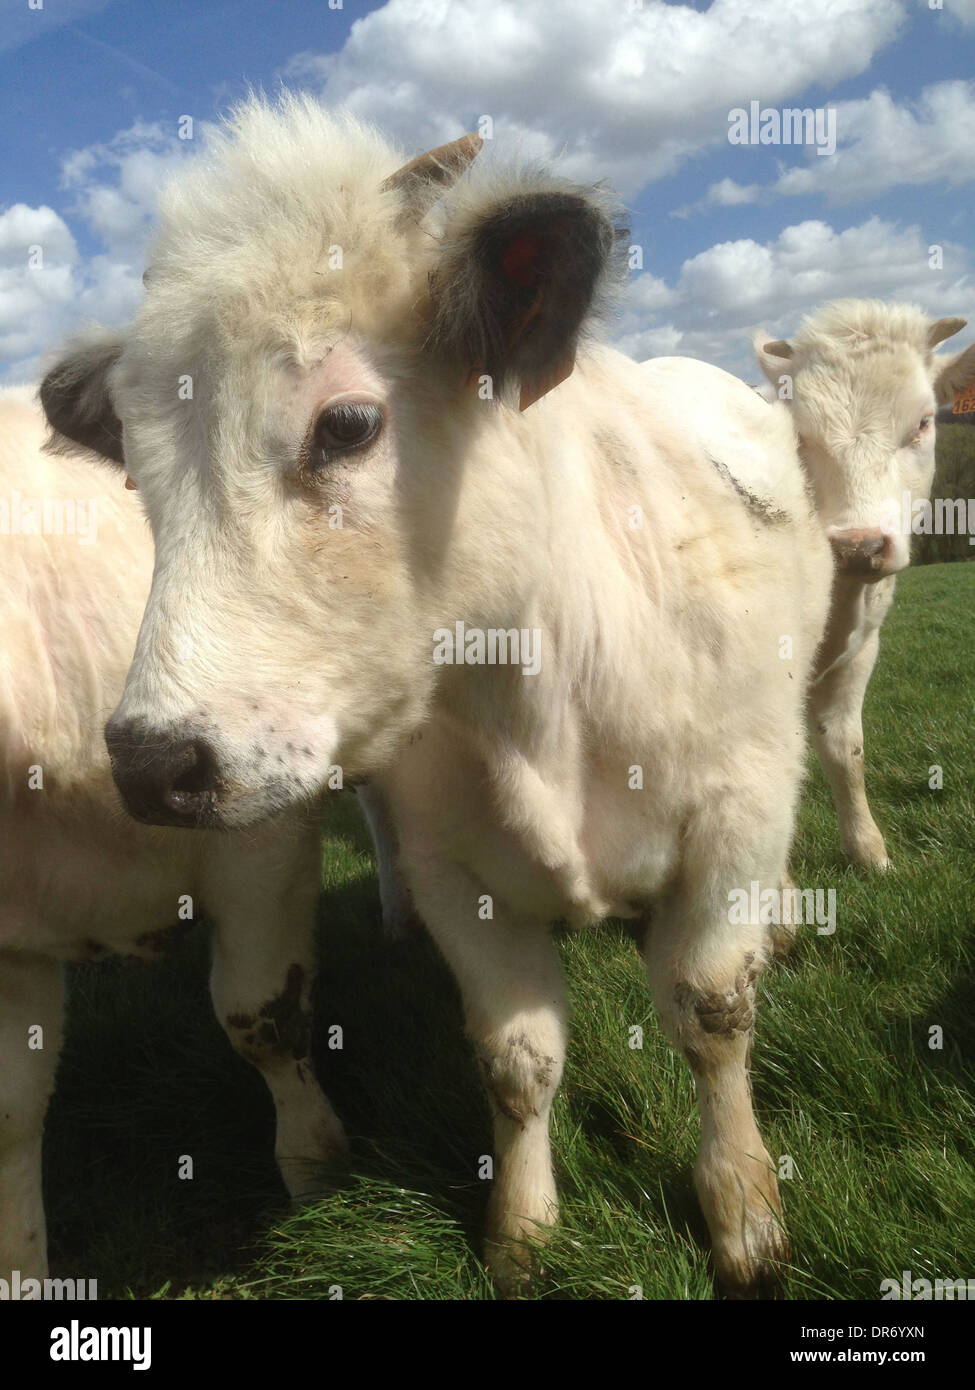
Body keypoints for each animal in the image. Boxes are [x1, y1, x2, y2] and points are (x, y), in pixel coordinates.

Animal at [40, 94, 833, 1296]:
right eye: (134, 464)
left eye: (347, 425)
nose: (152, 762)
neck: (546, 697)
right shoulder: (456, 865)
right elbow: (517, 1055)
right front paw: (522, 1232)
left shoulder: (733, 816)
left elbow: (711, 1014)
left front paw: (742, 1212)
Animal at [756, 302, 975, 870]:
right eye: (799, 437)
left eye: (924, 422)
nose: (858, 547)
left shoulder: (862, 651)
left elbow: (845, 749)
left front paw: (869, 853)